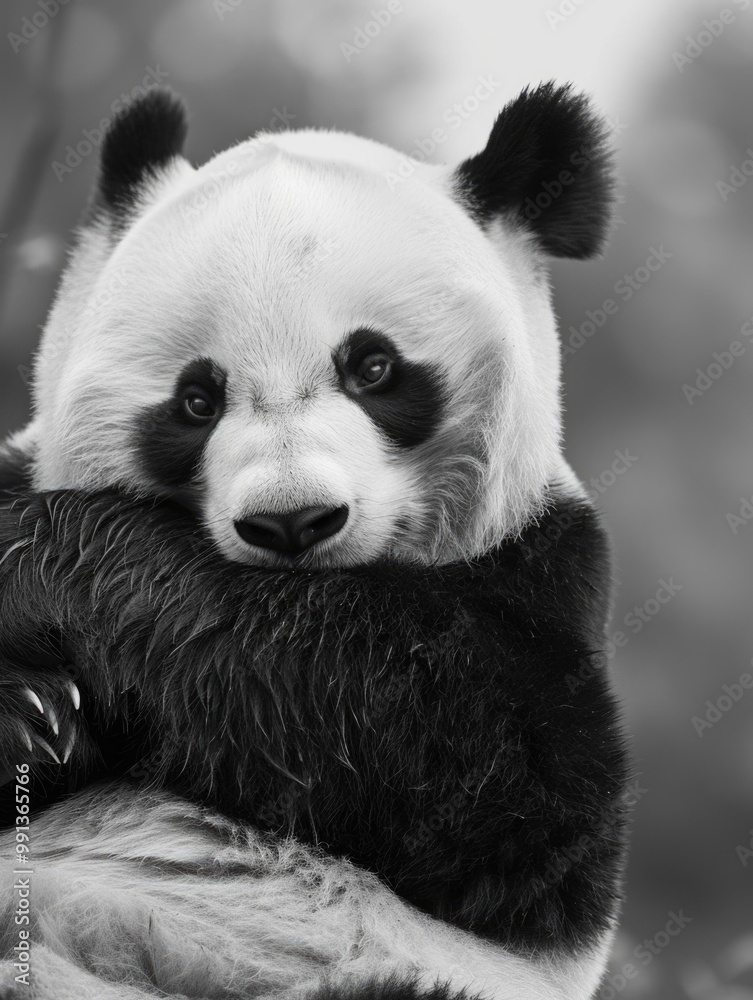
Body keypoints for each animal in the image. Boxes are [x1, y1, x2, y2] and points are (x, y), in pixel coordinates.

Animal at [0, 85, 629, 1000]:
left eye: (373, 367)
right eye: (195, 400)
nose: (292, 521)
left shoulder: (545, 572)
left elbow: (491, 782)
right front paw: (32, 718)